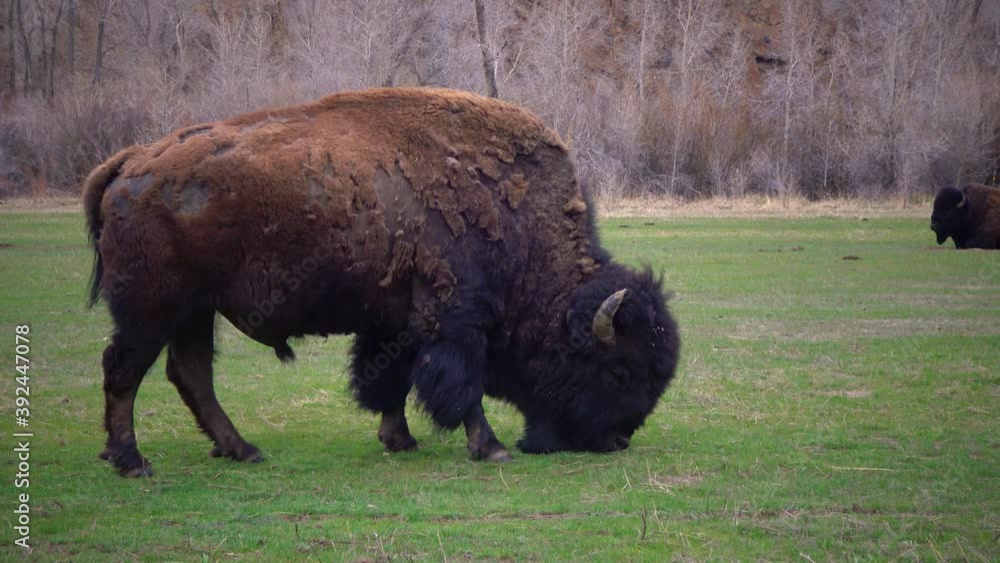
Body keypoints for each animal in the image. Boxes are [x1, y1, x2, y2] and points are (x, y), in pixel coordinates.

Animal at [84, 87, 680, 477]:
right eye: (619, 369)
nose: (618, 439)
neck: (517, 218)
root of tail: (130, 162)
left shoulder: (397, 321)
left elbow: (389, 378)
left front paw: (400, 440)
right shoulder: (455, 320)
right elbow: (461, 385)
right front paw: (490, 448)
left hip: (194, 311)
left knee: (190, 373)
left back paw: (241, 449)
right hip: (152, 309)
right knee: (124, 370)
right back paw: (132, 461)